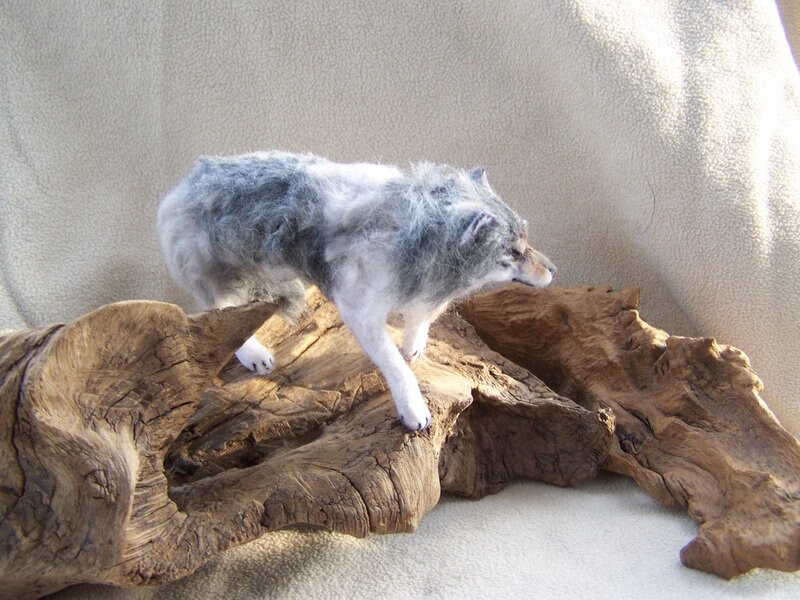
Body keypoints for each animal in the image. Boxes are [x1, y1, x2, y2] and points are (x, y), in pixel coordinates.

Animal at [157, 151, 556, 430]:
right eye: (513, 252)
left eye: (526, 238)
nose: (554, 270)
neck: (418, 238)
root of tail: (184, 186)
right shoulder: (360, 314)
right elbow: (397, 368)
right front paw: (414, 411)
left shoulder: (421, 298)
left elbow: (419, 322)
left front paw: (414, 346)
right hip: (215, 276)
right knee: (220, 312)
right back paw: (255, 354)